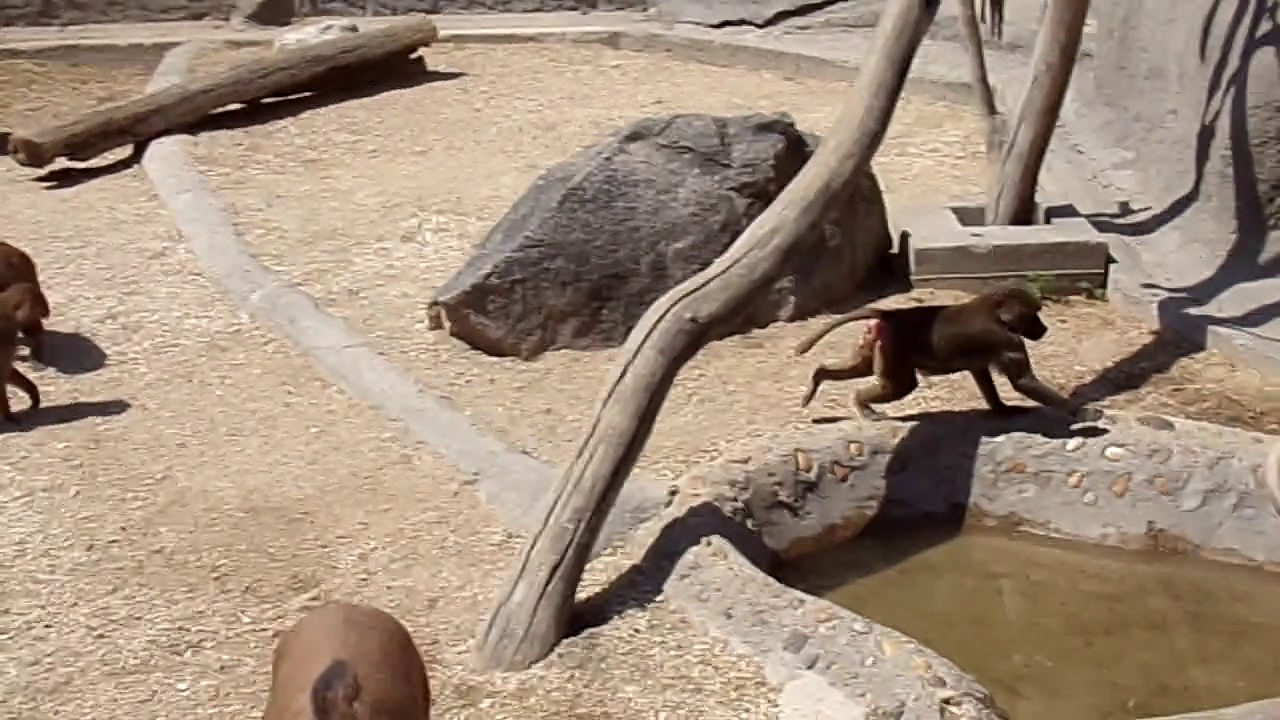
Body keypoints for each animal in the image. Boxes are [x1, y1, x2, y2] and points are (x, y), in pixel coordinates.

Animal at [794, 286, 1092, 421]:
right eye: (1033, 315)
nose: (1044, 329)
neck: (994, 309)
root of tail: (891, 315)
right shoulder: (1007, 340)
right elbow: (1024, 382)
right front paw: (1084, 413)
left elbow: (982, 374)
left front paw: (1001, 409)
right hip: (893, 348)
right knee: (900, 386)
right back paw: (863, 406)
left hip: (876, 344)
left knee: (858, 370)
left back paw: (817, 379)